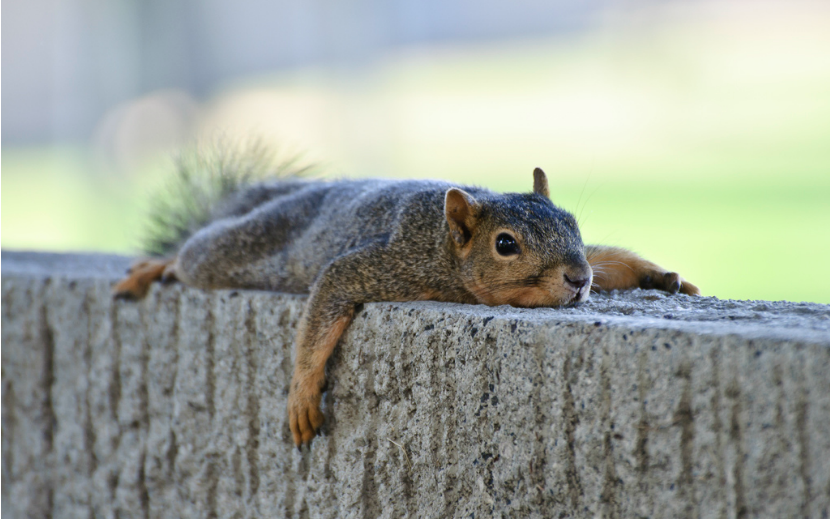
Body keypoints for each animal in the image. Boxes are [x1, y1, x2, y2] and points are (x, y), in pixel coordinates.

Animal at [113, 147, 699, 447]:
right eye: (505, 244)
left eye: (573, 224)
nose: (577, 279)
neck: (445, 248)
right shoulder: (382, 266)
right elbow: (327, 299)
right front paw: (301, 395)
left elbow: (608, 257)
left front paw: (658, 275)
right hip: (234, 252)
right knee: (193, 255)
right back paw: (157, 266)